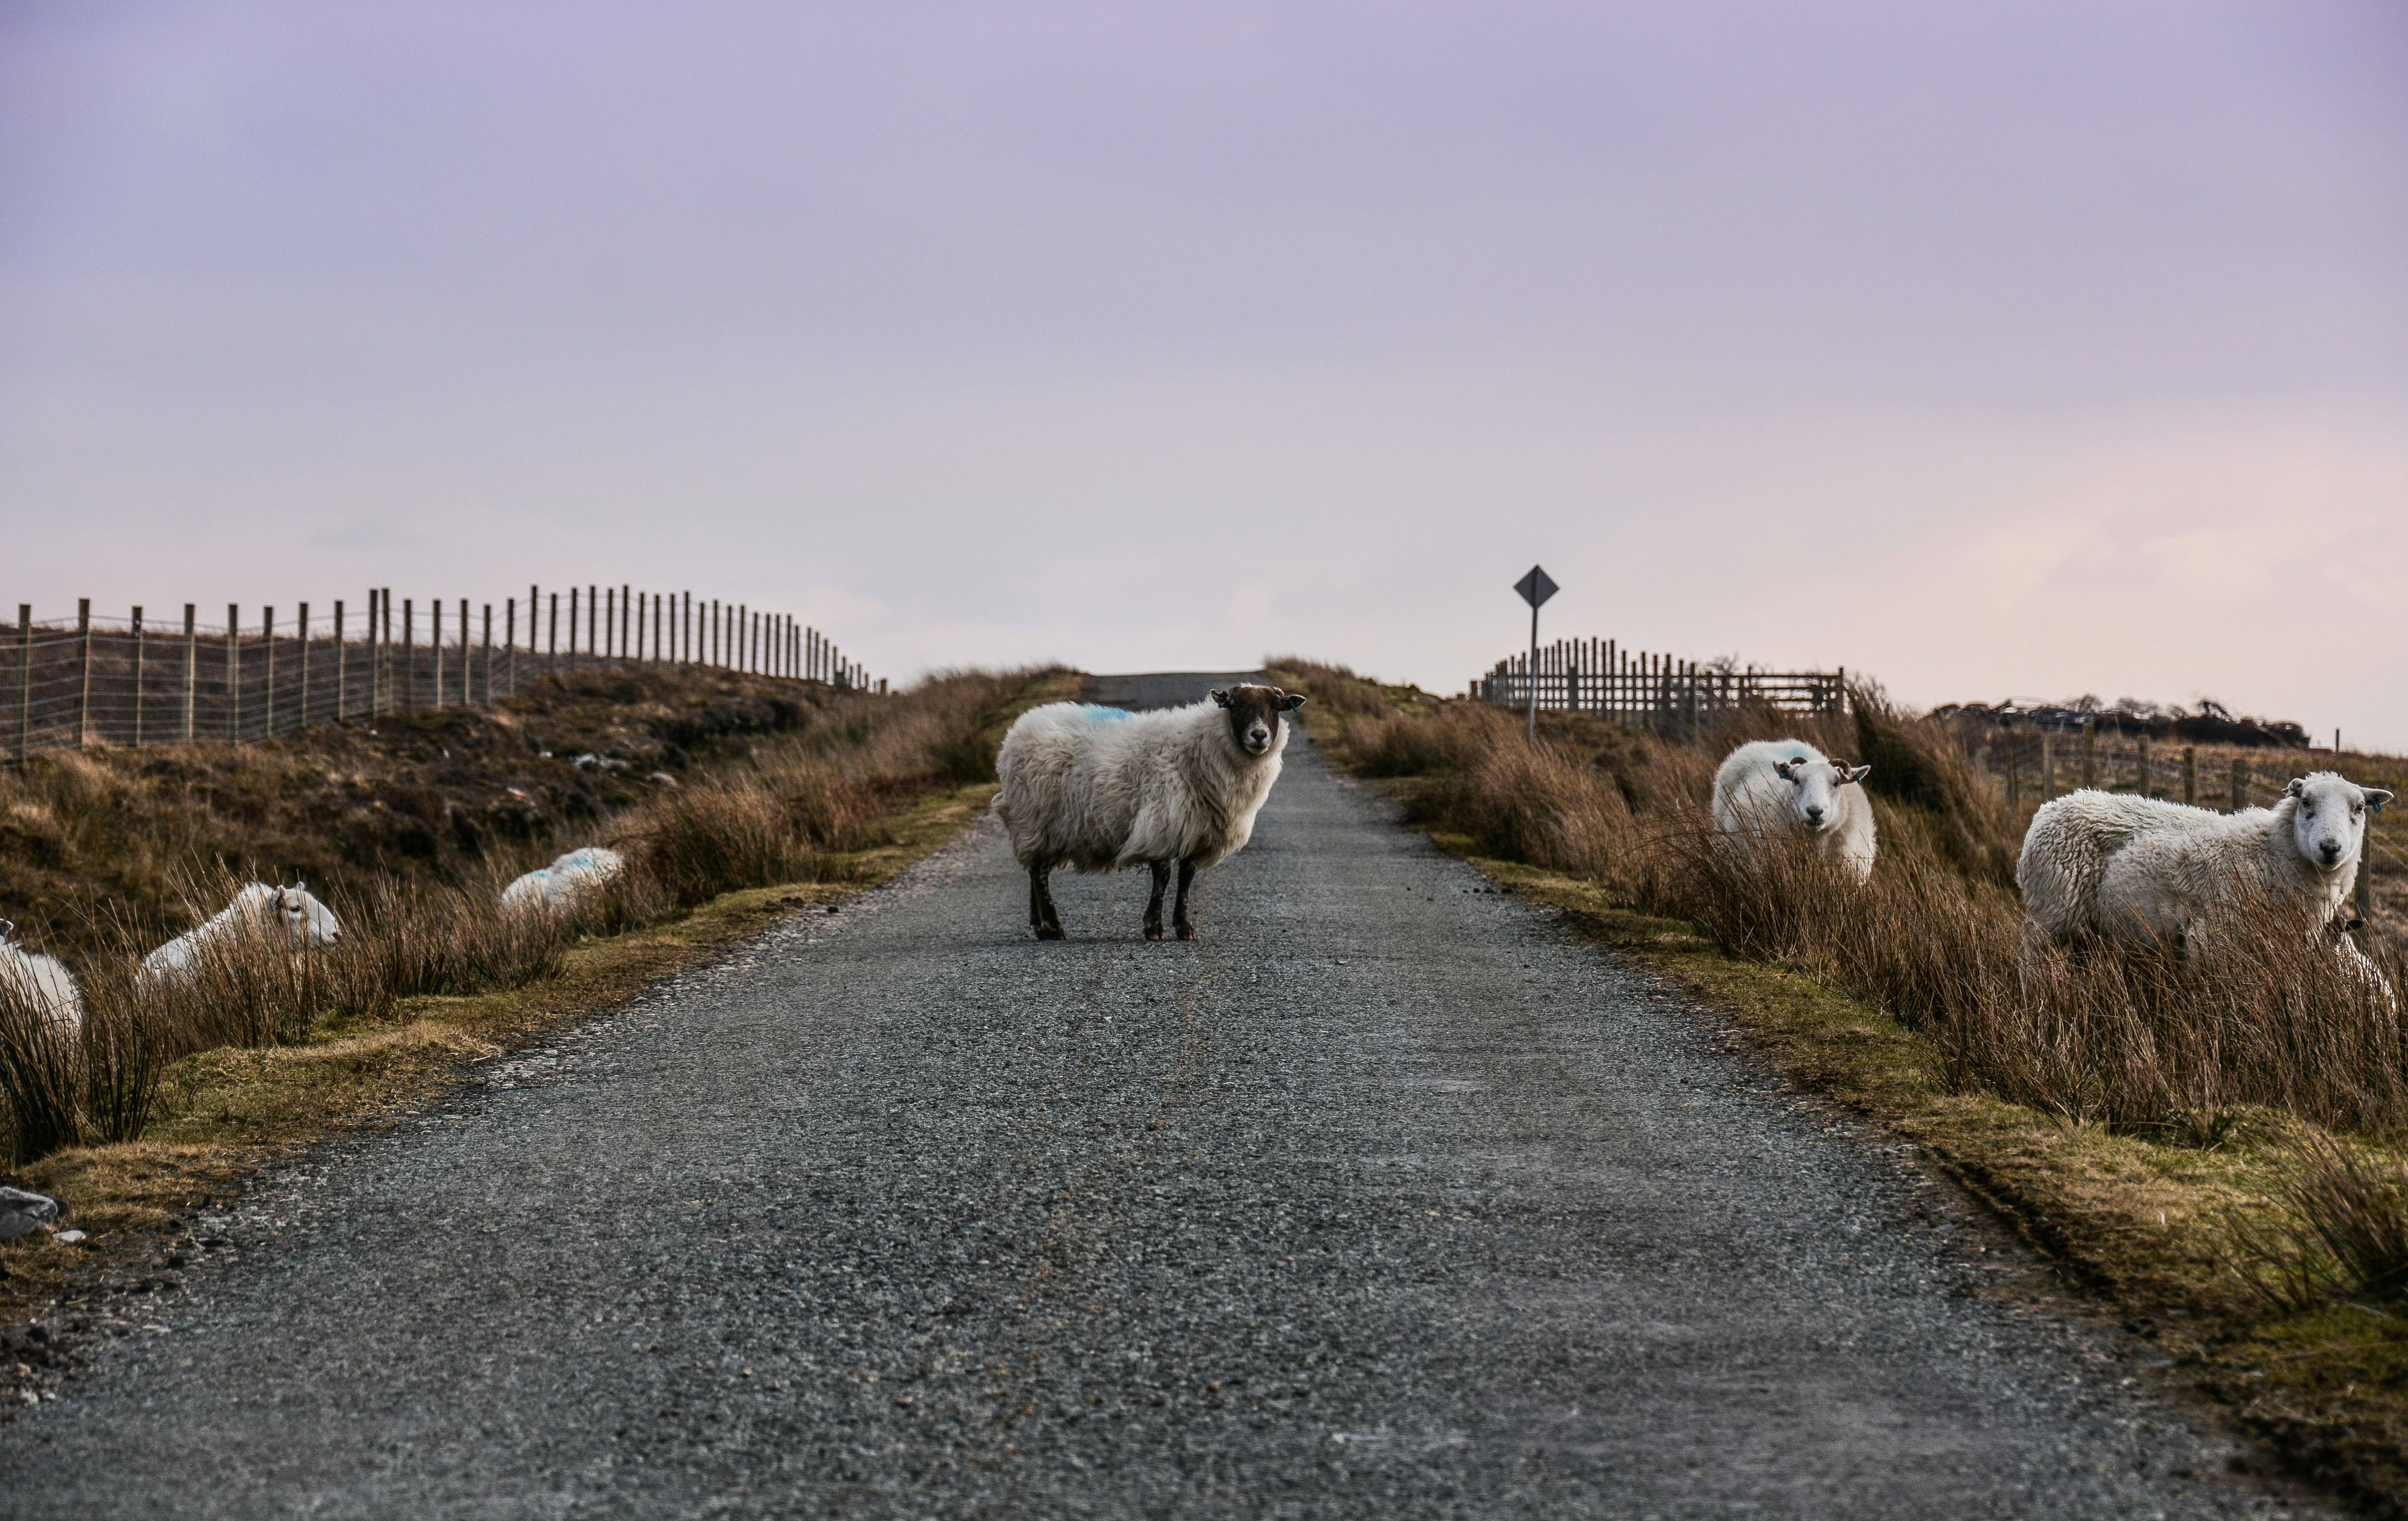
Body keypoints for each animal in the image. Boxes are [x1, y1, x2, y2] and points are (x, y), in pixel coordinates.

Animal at [995, 684, 1306, 941]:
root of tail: (1019, 729)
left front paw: (1183, 928)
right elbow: (1164, 878)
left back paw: (1040, 926)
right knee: (1039, 875)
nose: (1259, 736)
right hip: (1037, 819)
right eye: (1236, 705)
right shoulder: (1162, 823)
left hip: (1045, 828)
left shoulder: (1197, 830)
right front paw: (1153, 927)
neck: (1200, 747)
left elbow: (1187, 879)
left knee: (1035, 869)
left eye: (1276, 707)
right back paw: (1053, 927)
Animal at [2017, 771, 2393, 965]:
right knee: (2030, 958)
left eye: (2360, 808)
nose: (2330, 847)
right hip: (2053, 911)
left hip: (2089, 925)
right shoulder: (2212, 935)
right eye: (2305, 802)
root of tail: (2049, 808)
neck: (2269, 851)